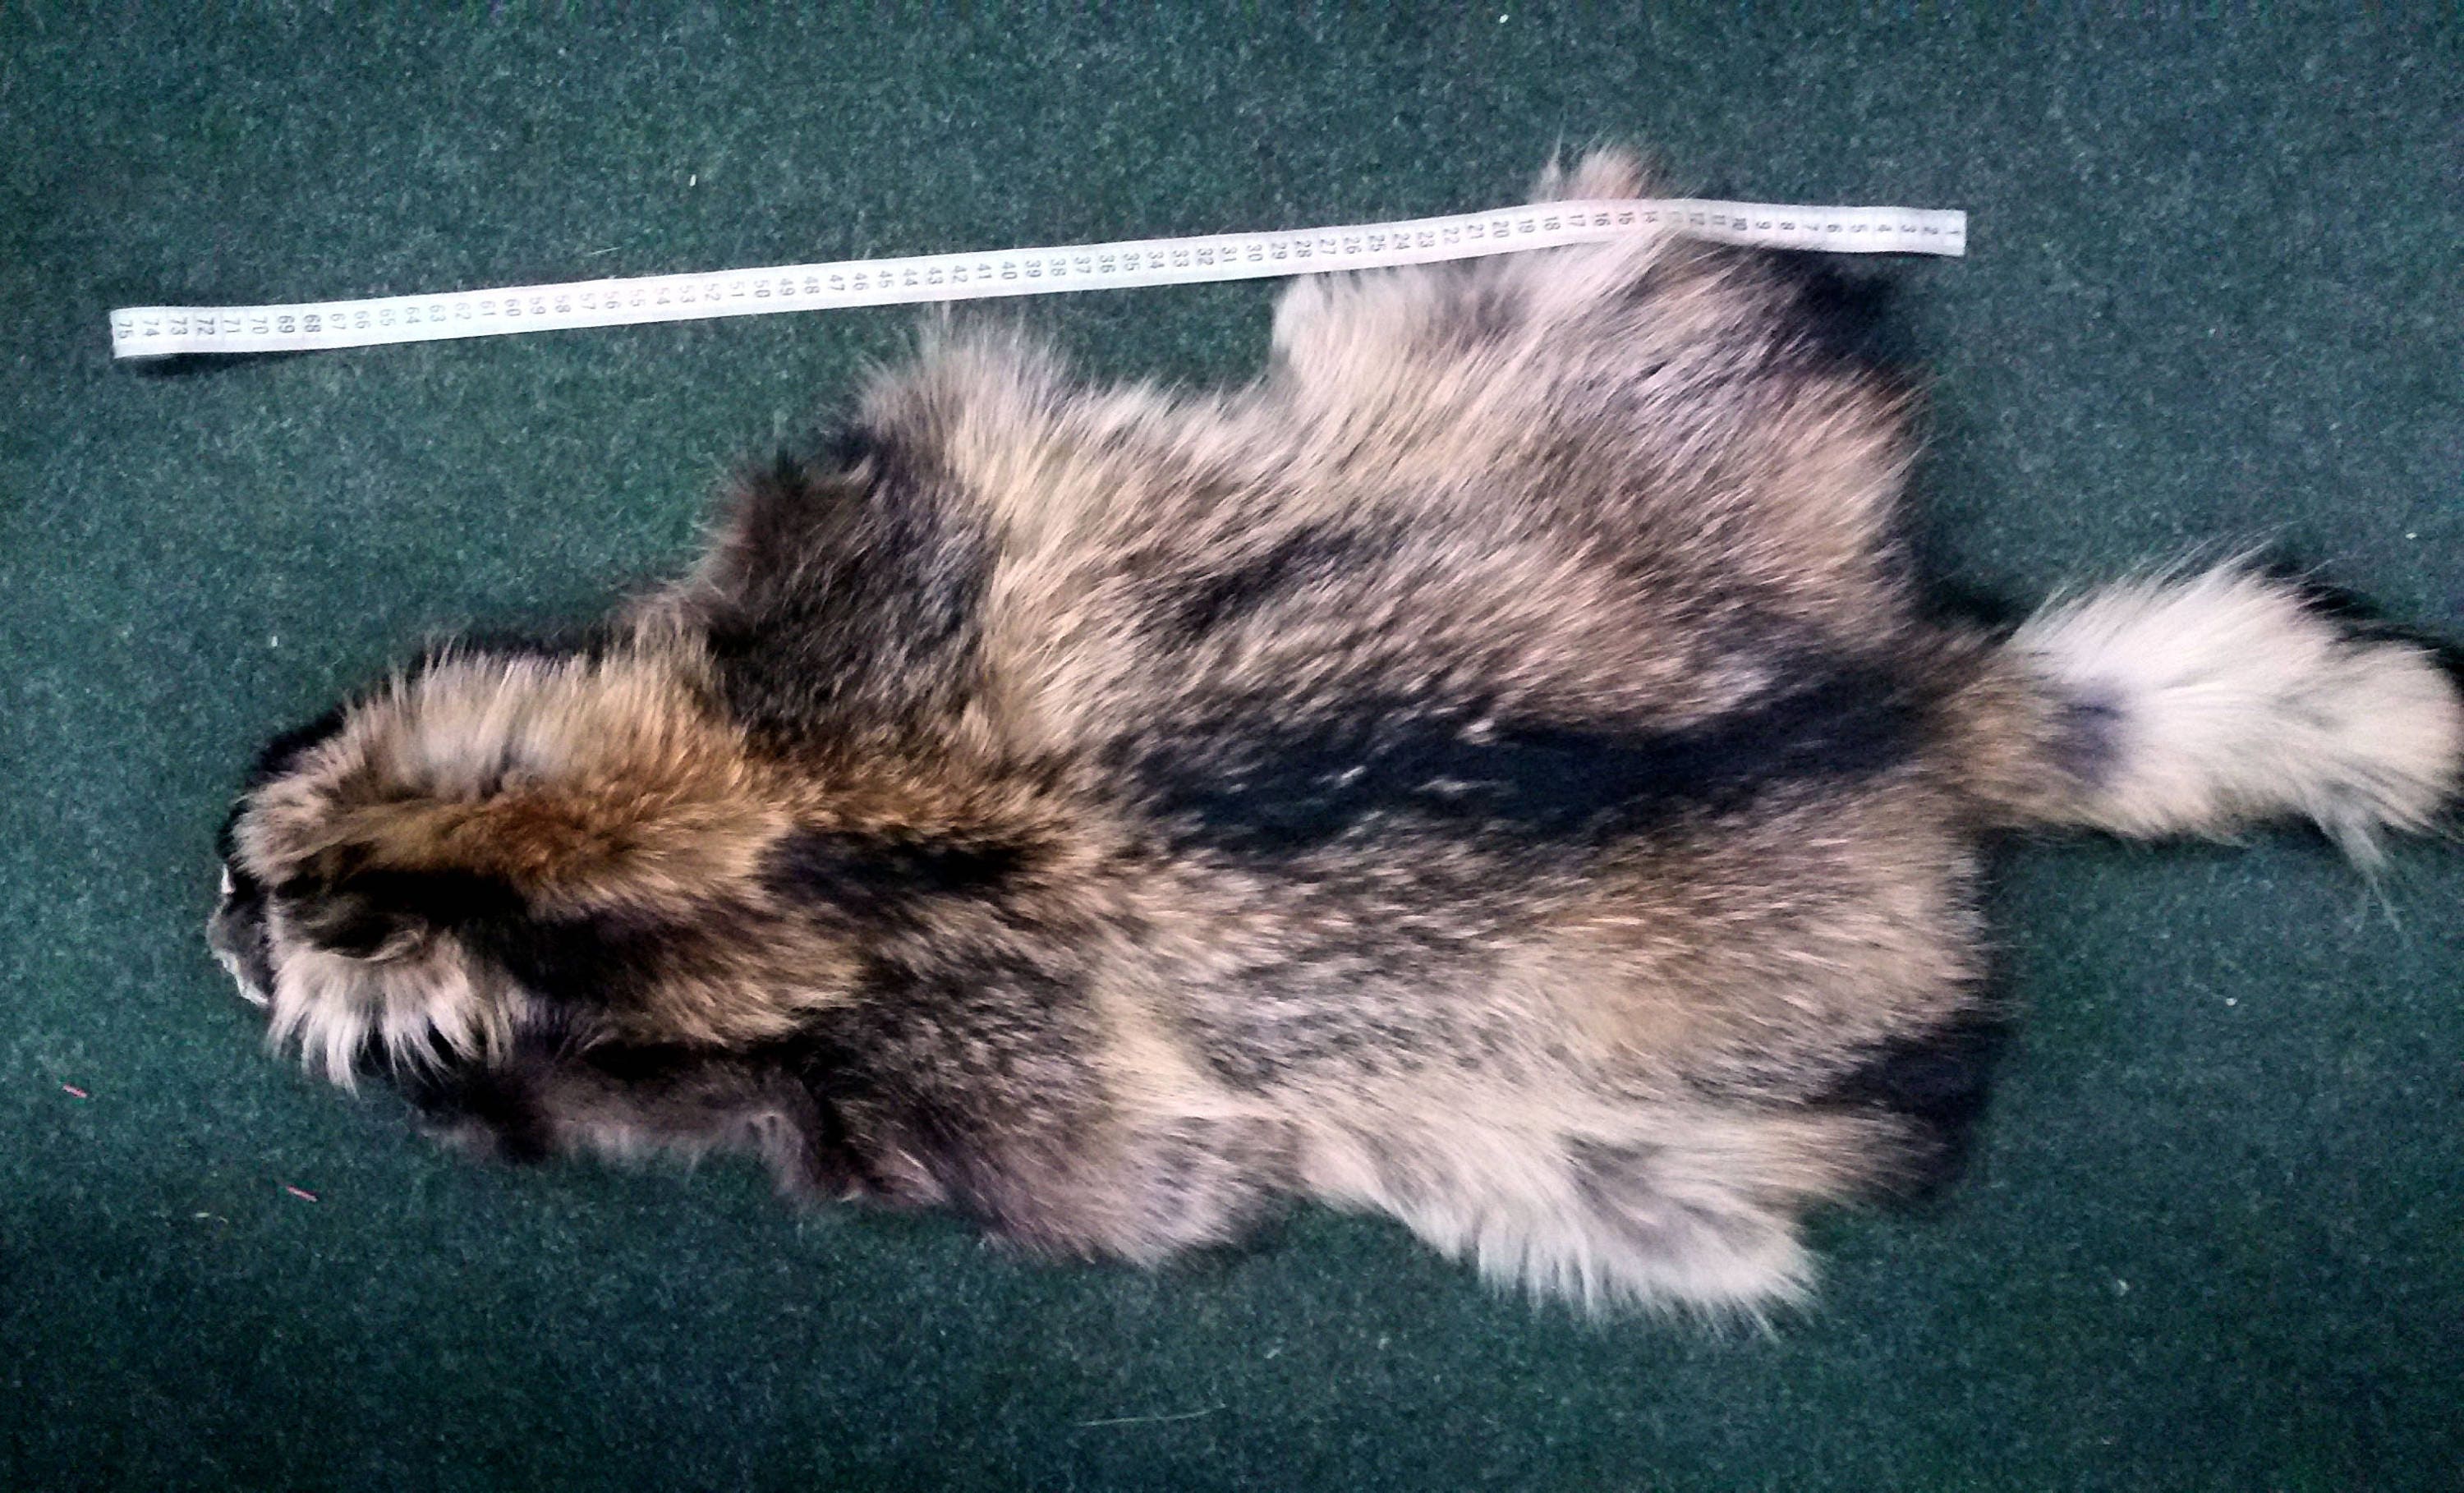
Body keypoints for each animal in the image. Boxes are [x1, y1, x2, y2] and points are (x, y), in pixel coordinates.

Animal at [208, 151, 2463, 1314]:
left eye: (294, 946)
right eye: (286, 832)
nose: (214, 899)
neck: (761, 826)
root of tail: (1915, 700)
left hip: (1662, 1145)